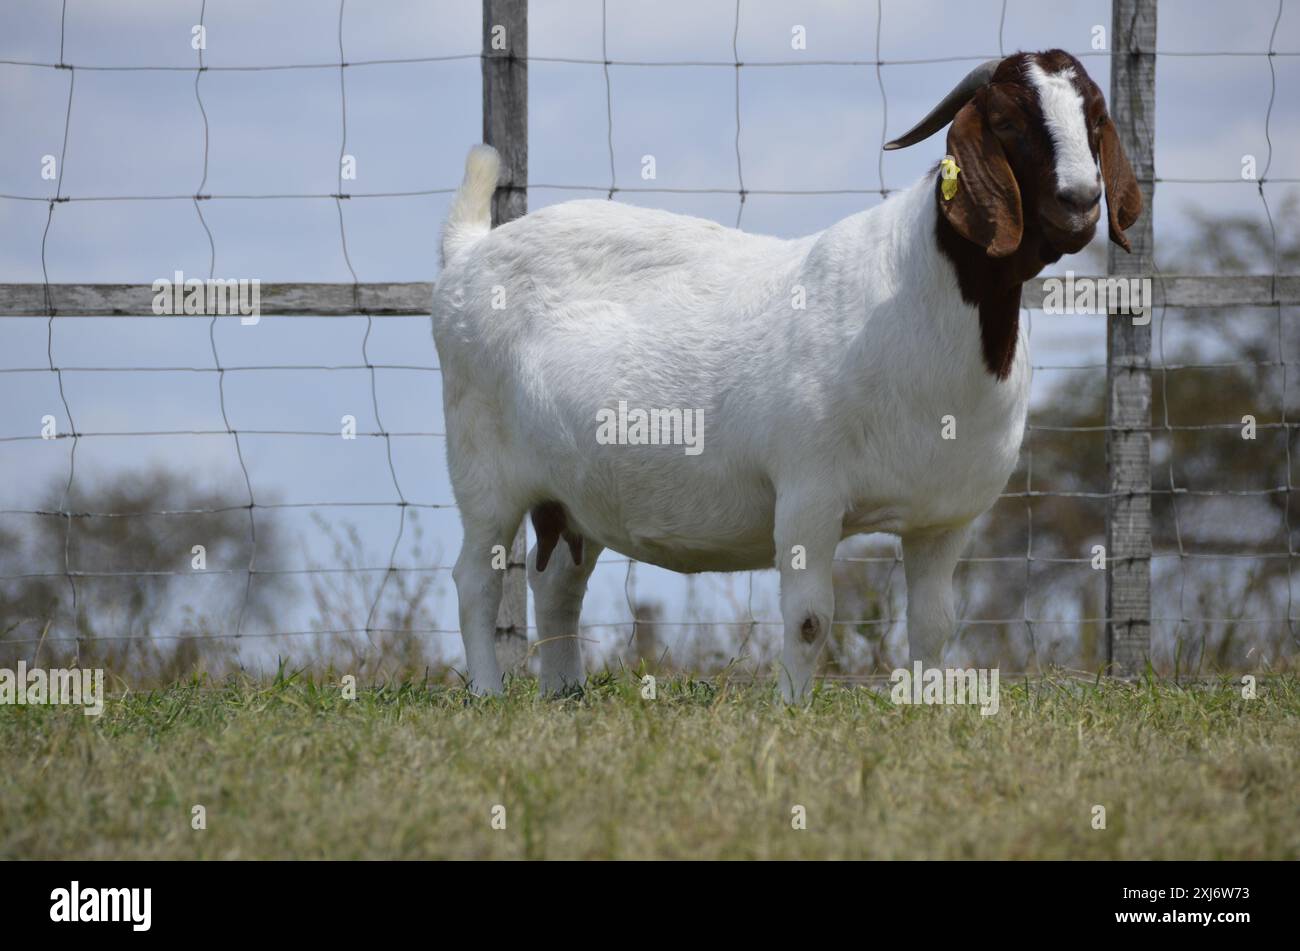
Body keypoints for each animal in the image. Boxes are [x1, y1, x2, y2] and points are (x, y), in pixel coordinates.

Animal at [432, 49, 1141, 700]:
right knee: (476, 581)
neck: (919, 297)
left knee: (555, 583)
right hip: (482, 469)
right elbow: (808, 620)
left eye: (1094, 116)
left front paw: (924, 706)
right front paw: (792, 711)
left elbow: (935, 626)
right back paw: (489, 694)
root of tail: (468, 252)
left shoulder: (944, 519)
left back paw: (564, 696)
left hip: (568, 494)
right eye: (1006, 119)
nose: (1081, 202)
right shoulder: (808, 493)